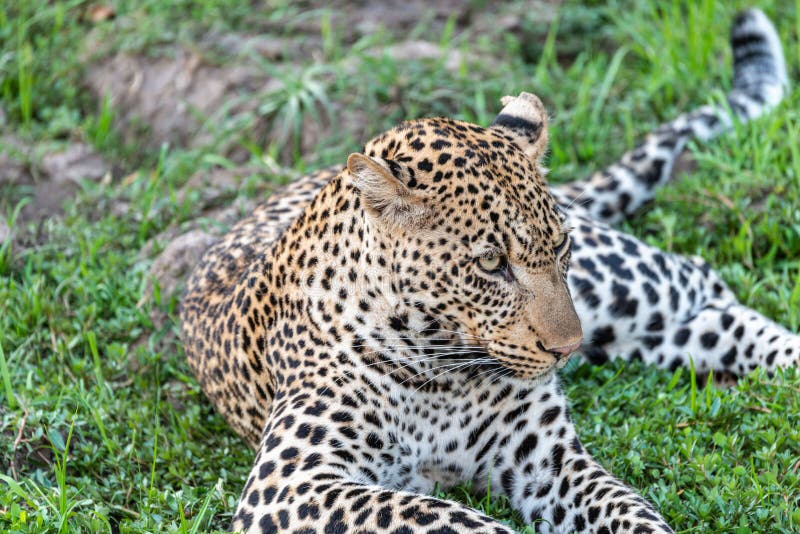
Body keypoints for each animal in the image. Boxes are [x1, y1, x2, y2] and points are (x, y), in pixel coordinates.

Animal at [180, 8, 796, 533]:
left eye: (560, 245)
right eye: (492, 264)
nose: (565, 350)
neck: (438, 370)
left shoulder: (544, 453)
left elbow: (622, 505)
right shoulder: (291, 482)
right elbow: (437, 516)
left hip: (617, 287)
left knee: (702, 277)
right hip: (623, 330)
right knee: (699, 323)